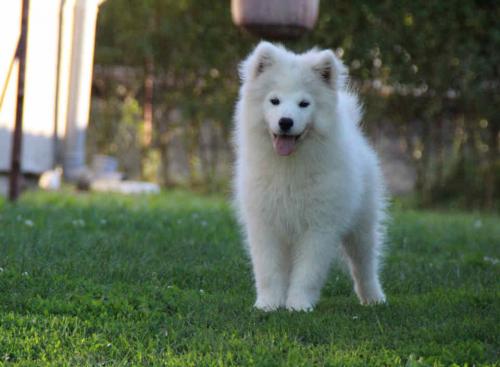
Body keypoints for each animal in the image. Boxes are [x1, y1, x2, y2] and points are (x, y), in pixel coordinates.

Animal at [232, 41, 388, 312]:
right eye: (274, 100)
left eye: (304, 104)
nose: (285, 121)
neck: (287, 169)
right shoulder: (265, 224)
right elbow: (267, 270)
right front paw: (268, 304)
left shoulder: (319, 226)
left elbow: (308, 272)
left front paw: (298, 305)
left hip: (362, 226)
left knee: (364, 264)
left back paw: (373, 298)